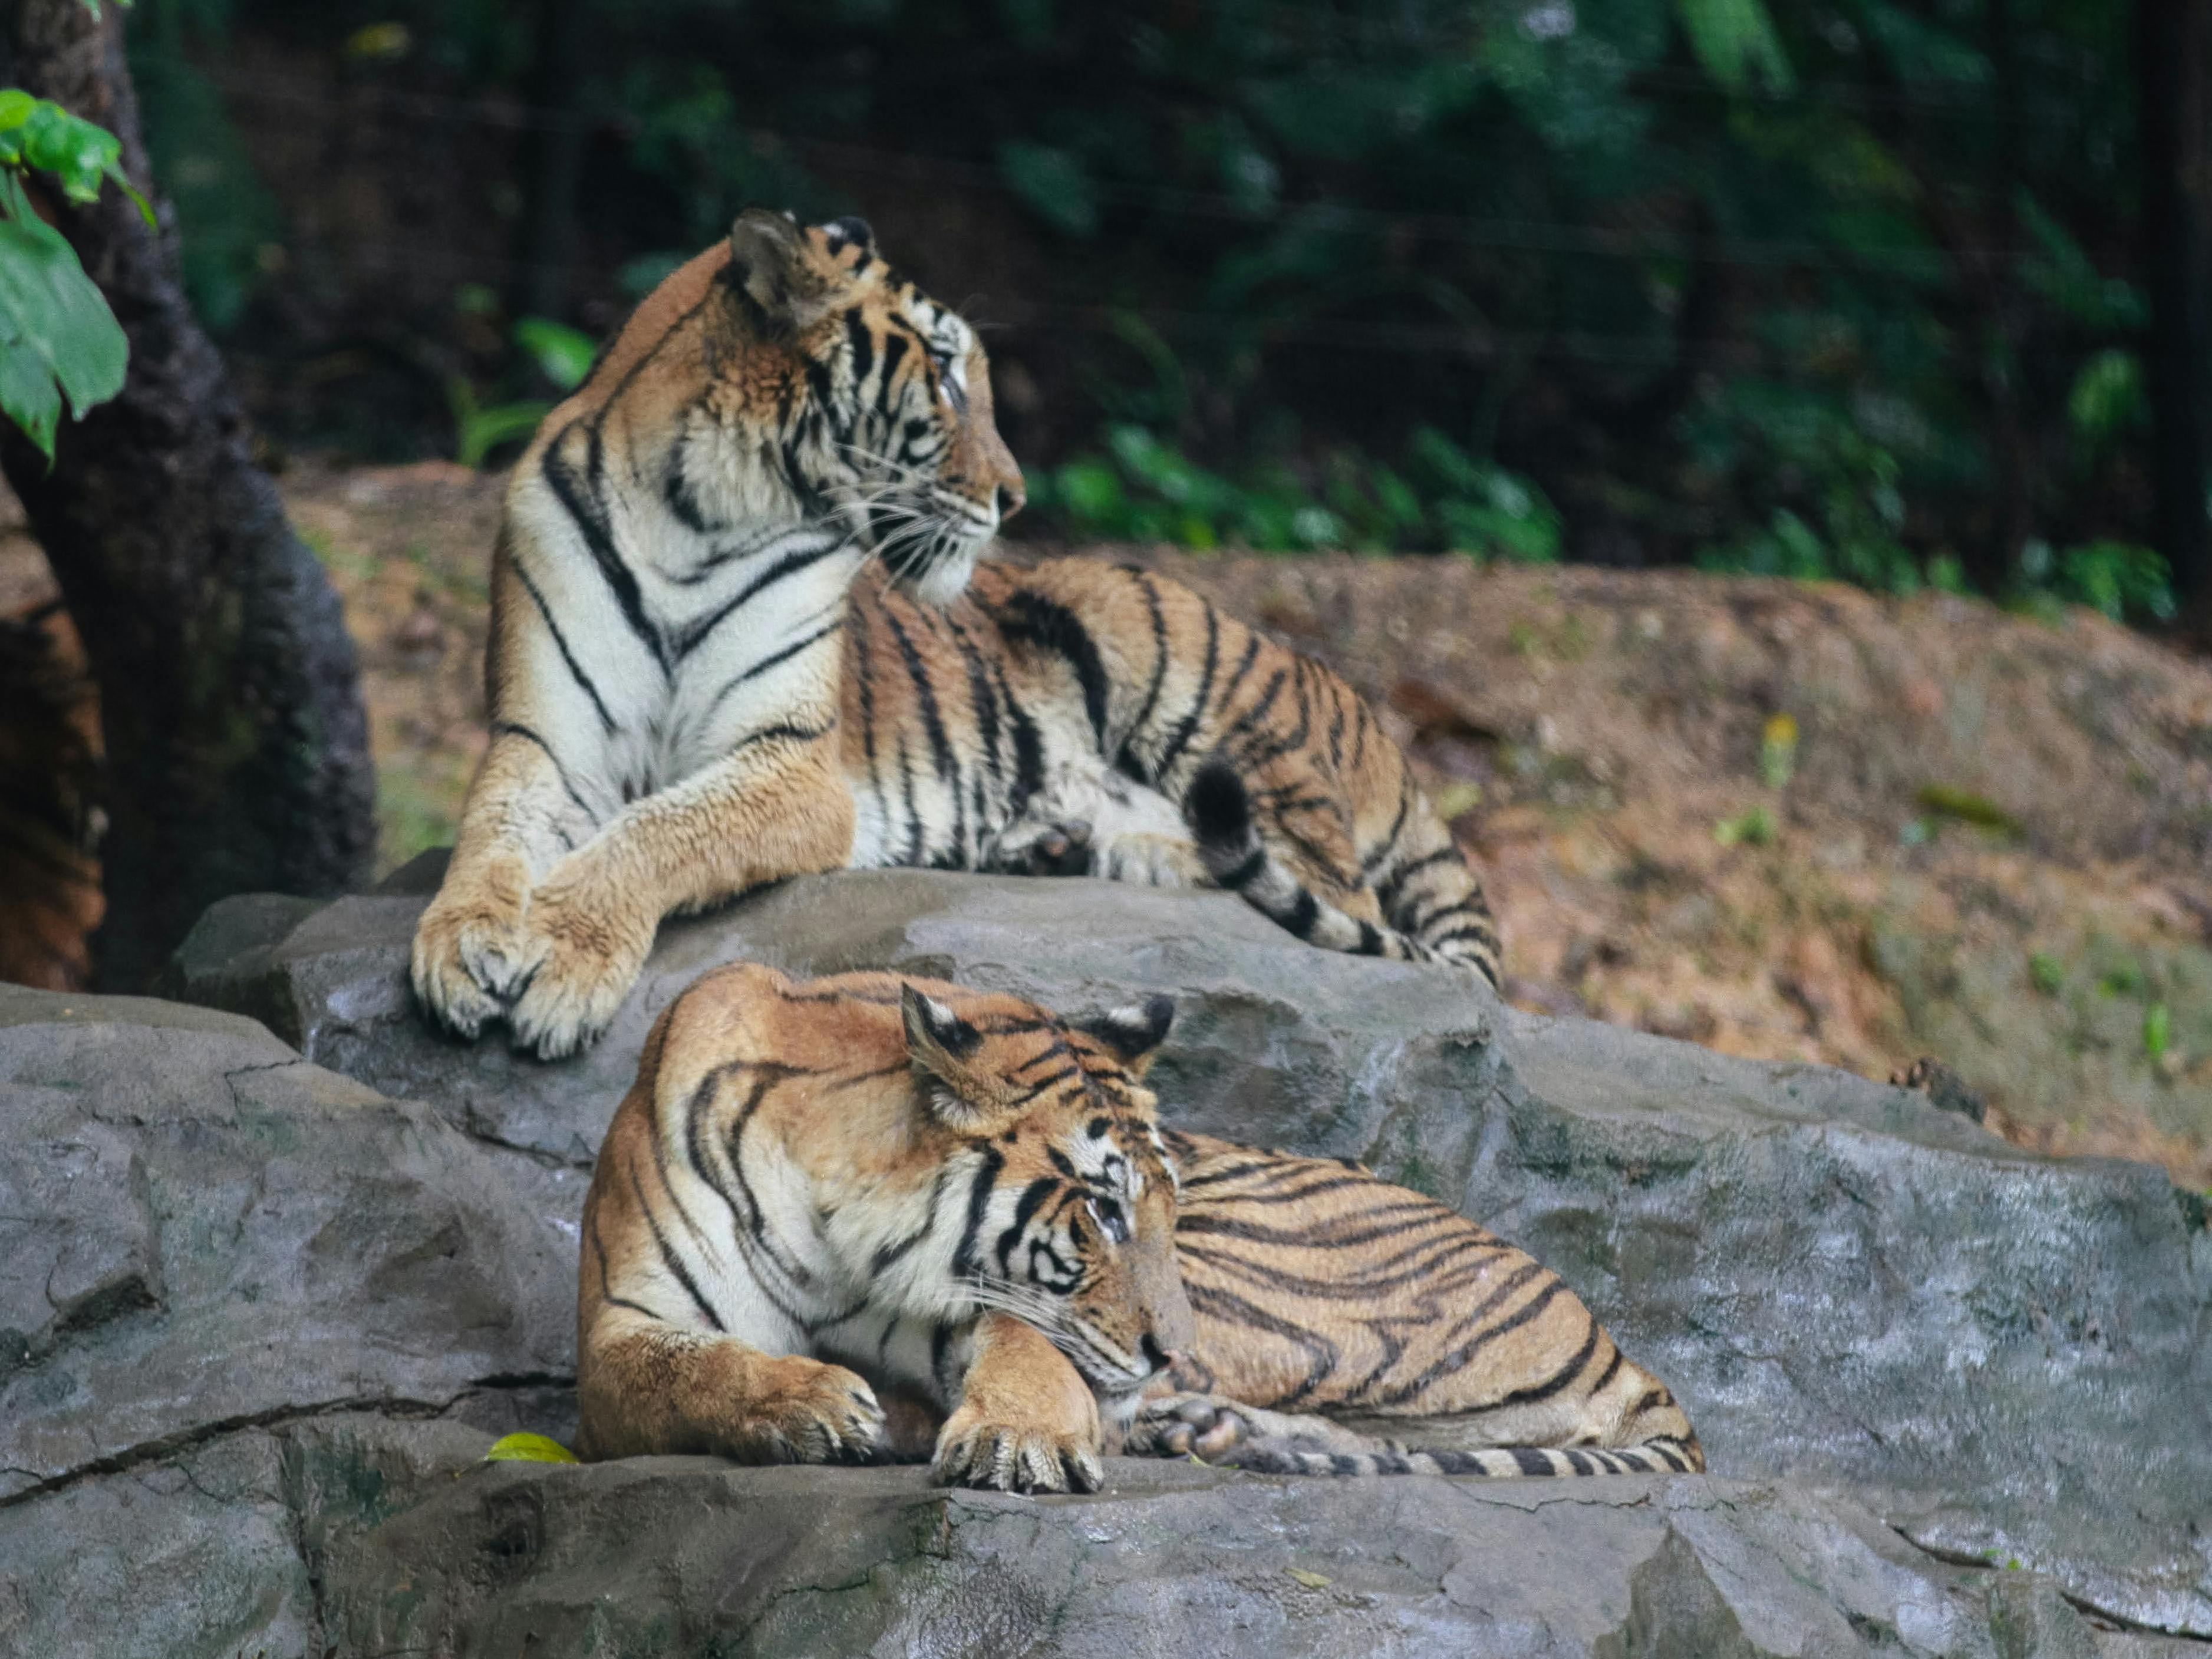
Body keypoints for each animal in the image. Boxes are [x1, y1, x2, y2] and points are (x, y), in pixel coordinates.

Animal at [411, 210, 1499, 1060]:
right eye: (941, 373)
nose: (1015, 496)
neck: (698, 512)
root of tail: (1359, 707)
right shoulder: (545, 739)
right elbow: (492, 833)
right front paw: (461, 947)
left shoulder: (793, 765)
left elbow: (657, 829)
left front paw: (562, 963)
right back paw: (1051, 846)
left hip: (1181, 671)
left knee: (1327, 892)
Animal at [577, 964, 1701, 1493]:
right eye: (1104, 1209)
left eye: (1167, 1204)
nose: (1172, 1350)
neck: (840, 1236)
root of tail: (1620, 1350)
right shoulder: (617, 1331)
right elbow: (692, 1368)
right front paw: (812, 1402)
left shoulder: (997, 1310)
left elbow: (1034, 1353)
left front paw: (1015, 1438)